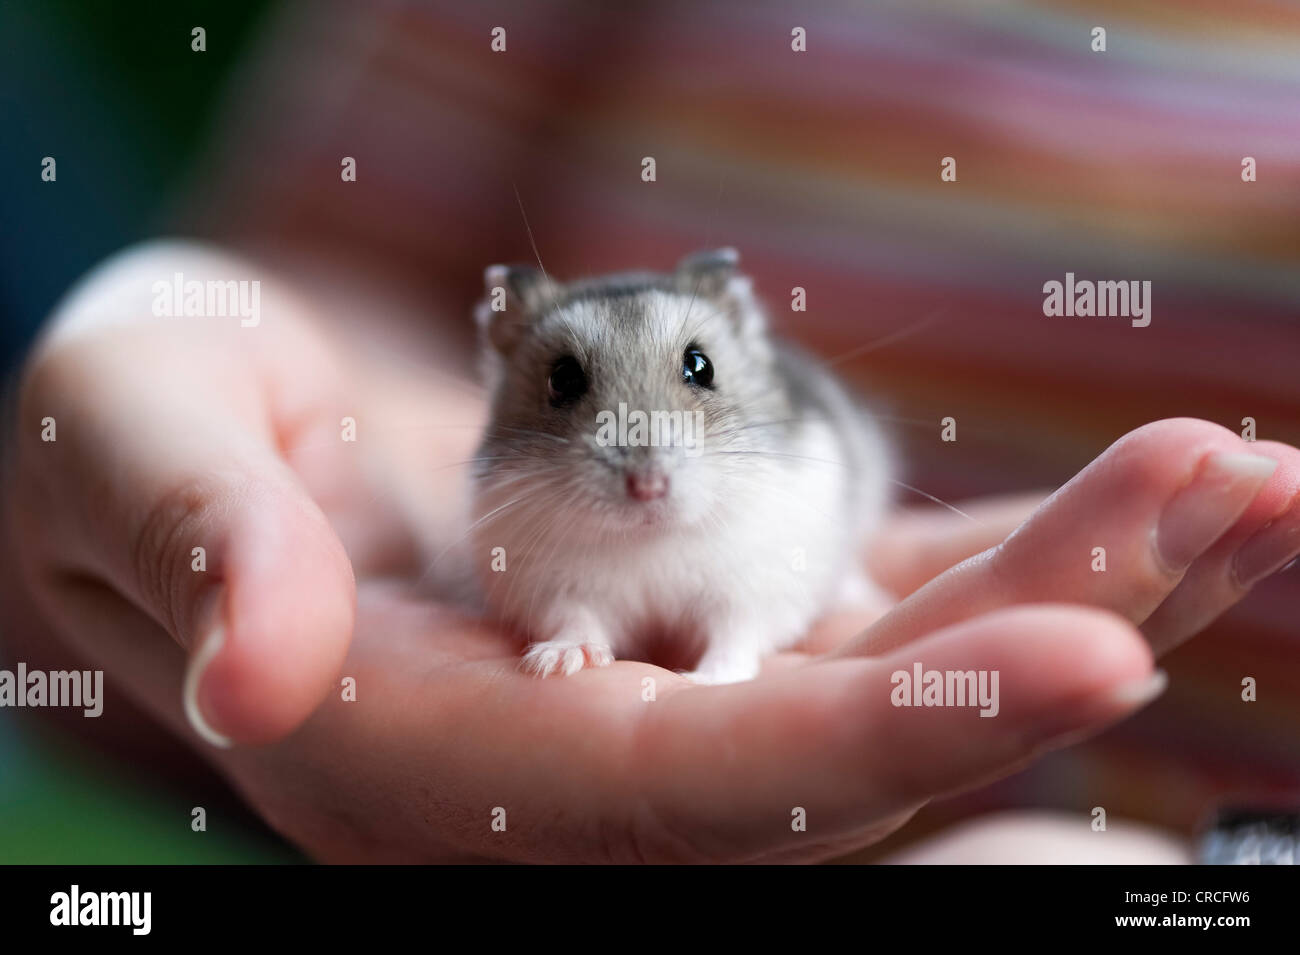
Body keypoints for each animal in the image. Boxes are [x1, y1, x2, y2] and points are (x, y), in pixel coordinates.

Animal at [470, 248, 892, 684]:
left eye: (701, 366)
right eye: (562, 378)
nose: (648, 487)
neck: (650, 540)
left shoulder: (759, 589)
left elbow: (736, 635)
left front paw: (706, 680)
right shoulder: (551, 587)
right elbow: (575, 619)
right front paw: (560, 662)